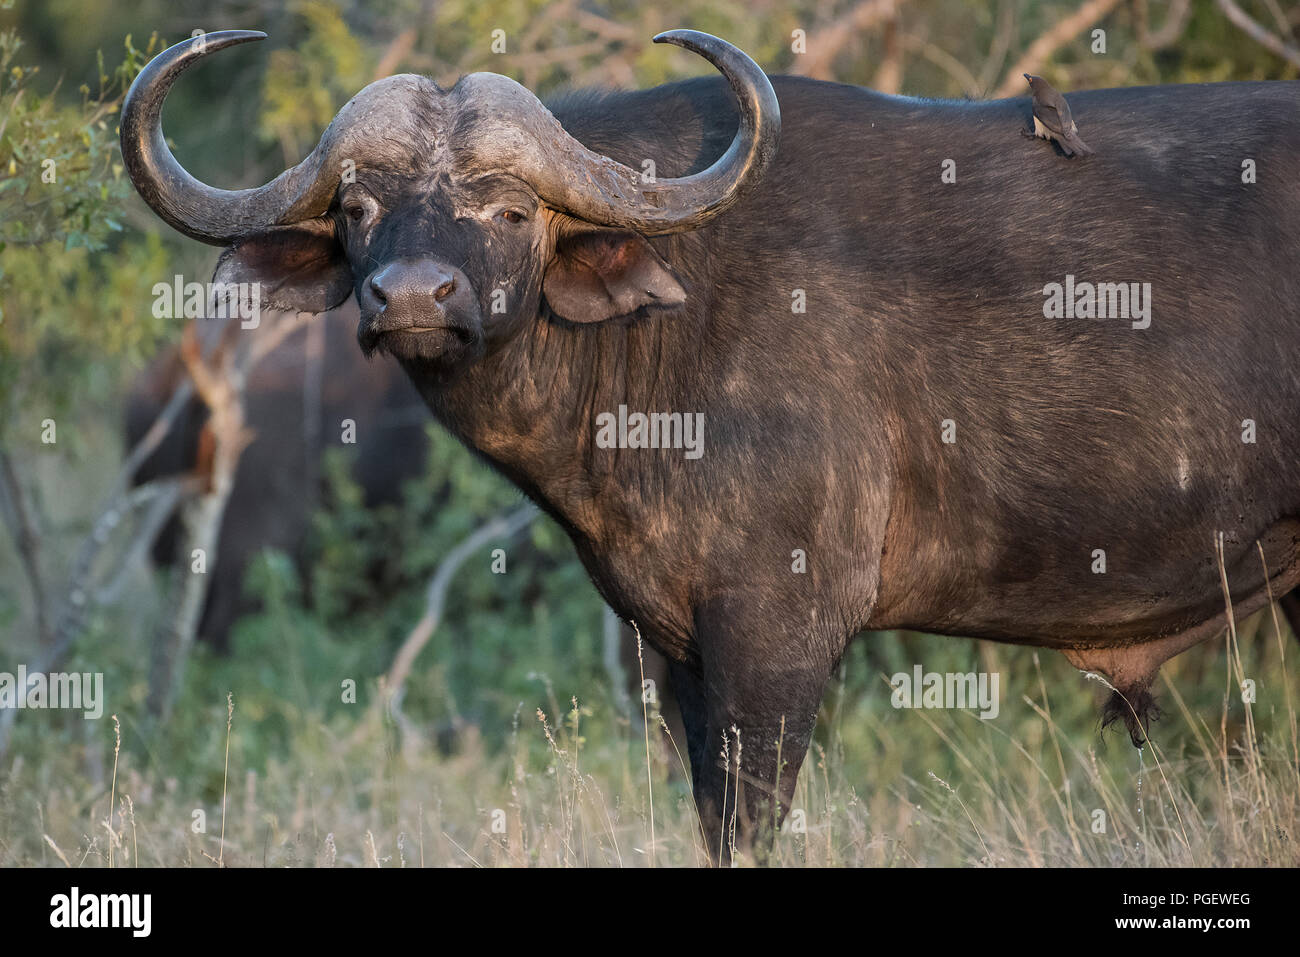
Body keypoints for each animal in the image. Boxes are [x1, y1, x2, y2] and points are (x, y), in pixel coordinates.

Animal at [122, 29, 1300, 861]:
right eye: (360, 207)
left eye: (511, 211)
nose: (411, 299)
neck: (670, 327)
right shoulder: (679, 649)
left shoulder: (780, 635)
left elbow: (752, 820)